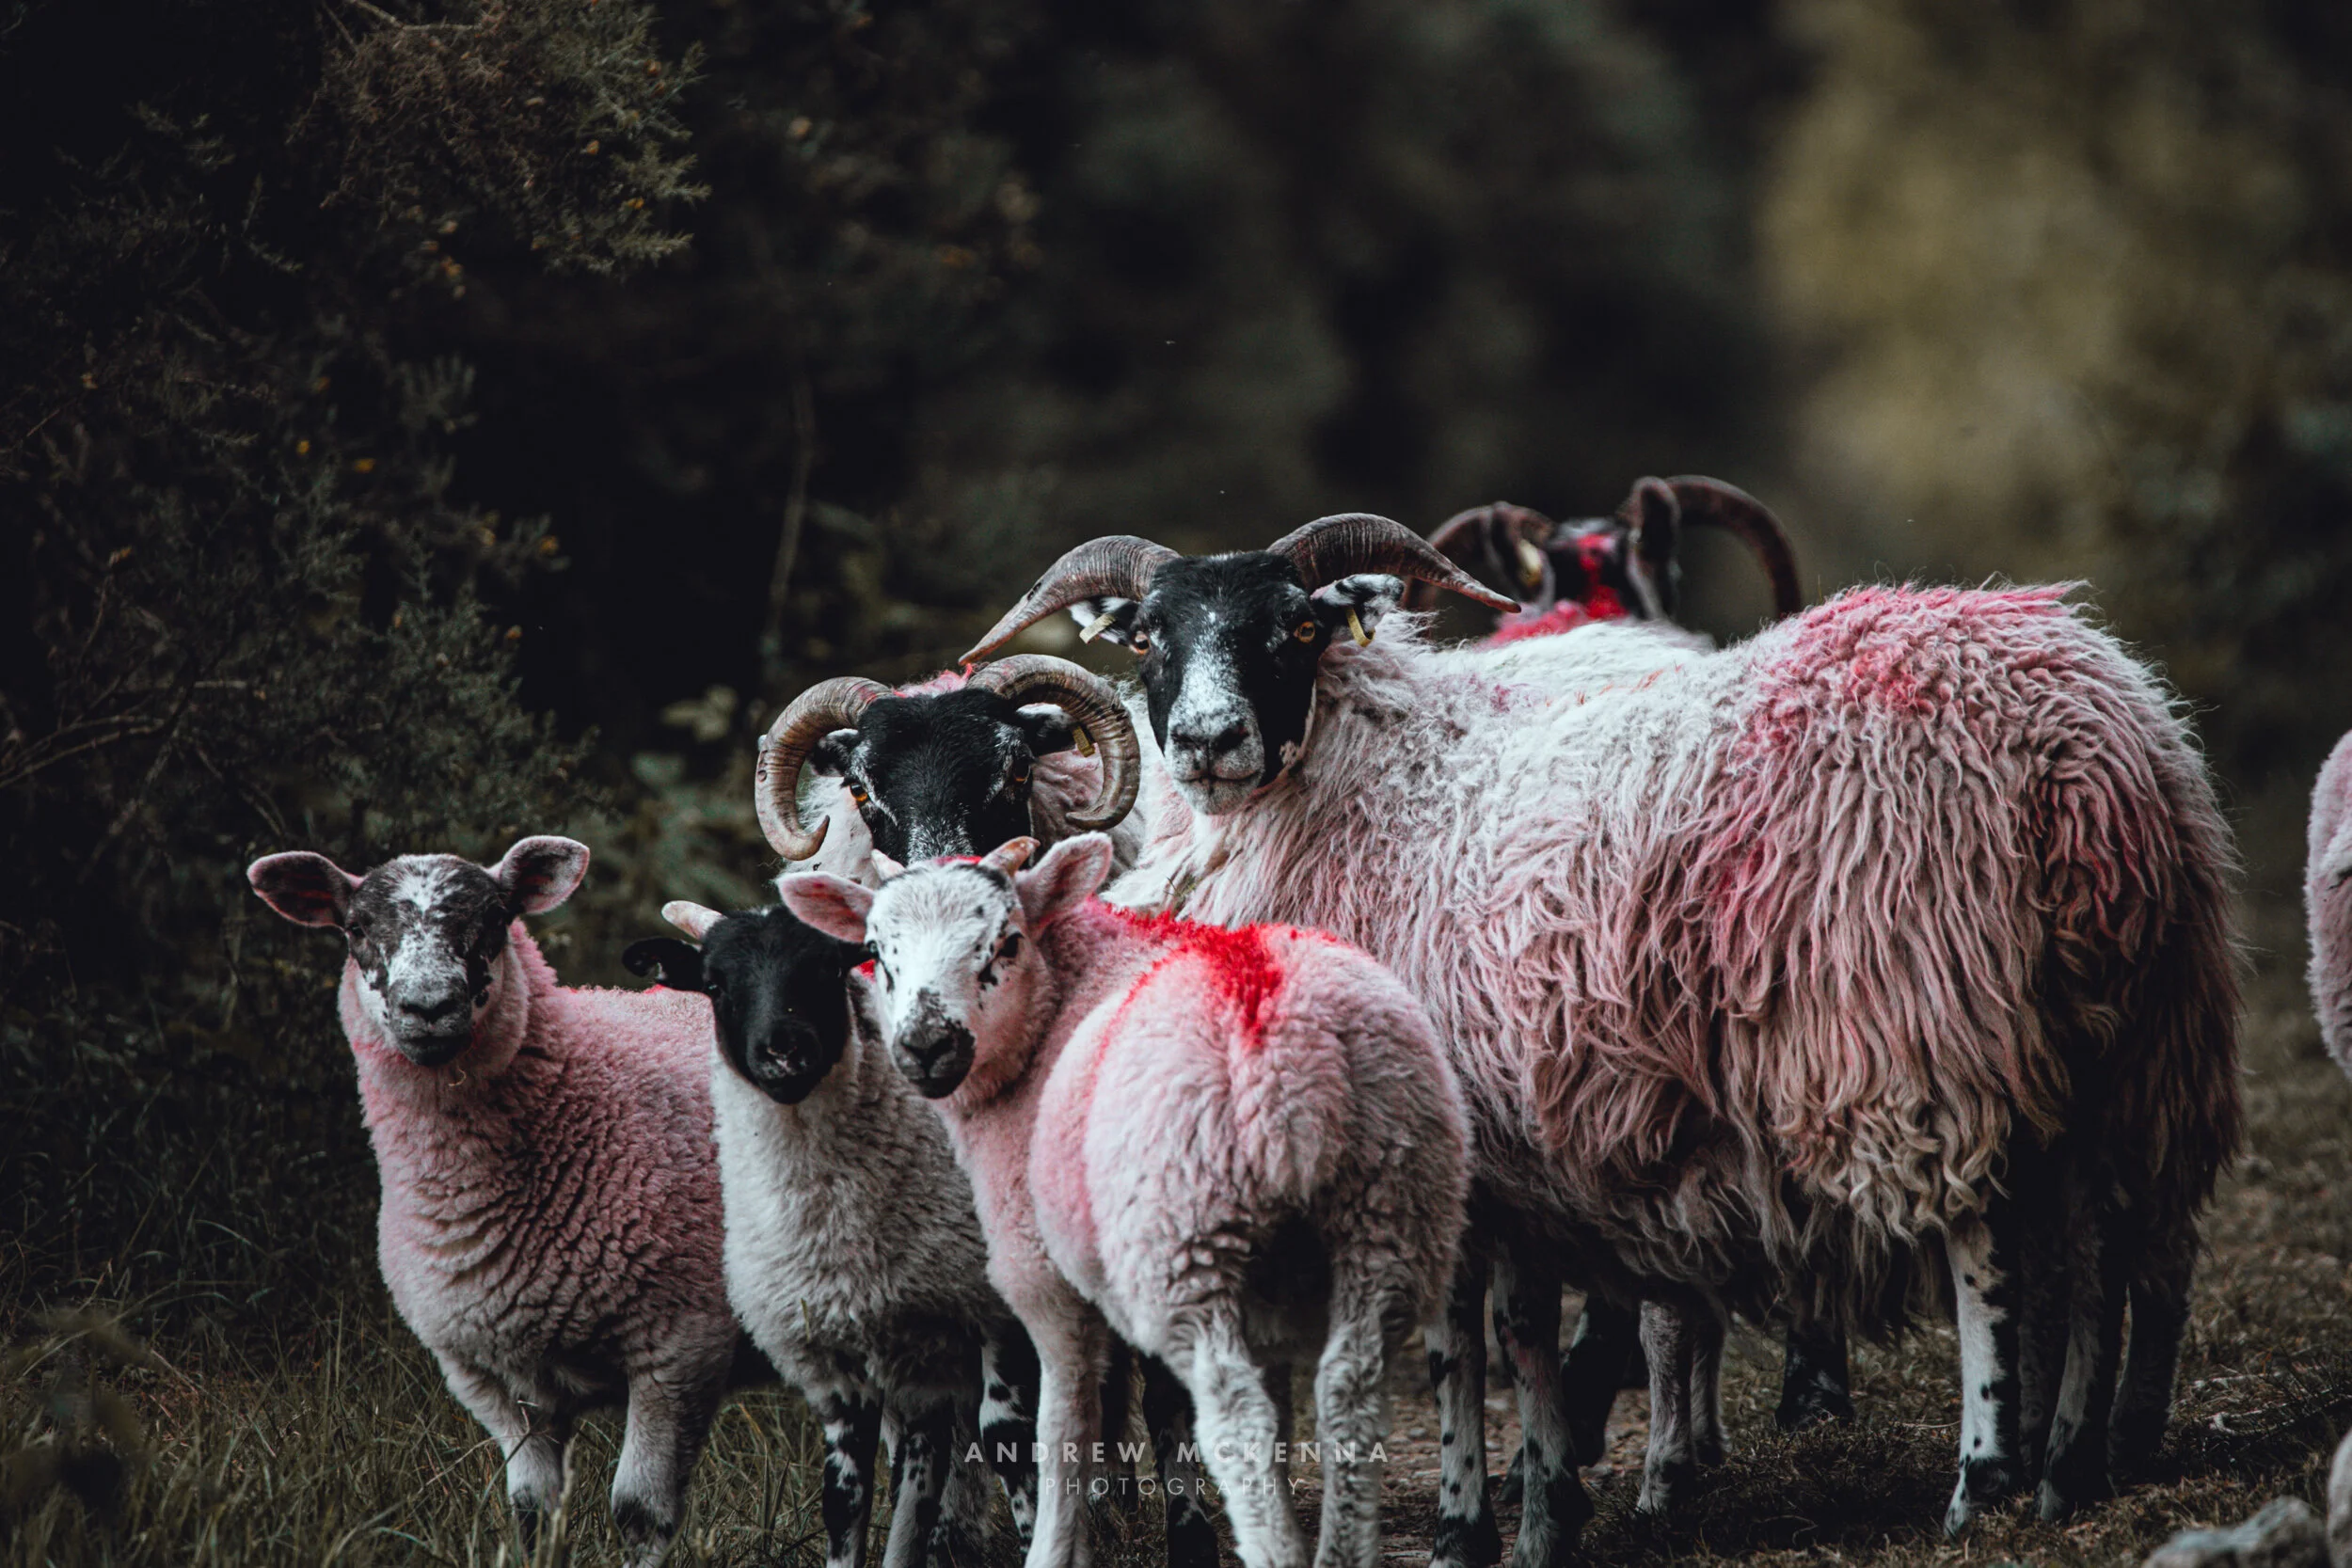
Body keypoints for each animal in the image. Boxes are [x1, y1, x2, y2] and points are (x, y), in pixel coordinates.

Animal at [246, 837, 737, 1567]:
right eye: (355, 927)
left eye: (496, 918)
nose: (427, 1005)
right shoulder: (493, 1378)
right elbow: (532, 1510)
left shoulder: (679, 1351)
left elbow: (640, 1514)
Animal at [622, 902, 1036, 1568]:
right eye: (714, 984)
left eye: (826, 967)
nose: (783, 1053)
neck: (840, 1226)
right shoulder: (840, 1356)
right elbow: (846, 1496)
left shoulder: (994, 1313)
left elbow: (1010, 1446)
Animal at [779, 834, 1472, 1568]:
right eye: (876, 951)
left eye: (1007, 942)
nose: (926, 1045)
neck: (1065, 994)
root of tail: (1280, 1028)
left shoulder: (1040, 1274)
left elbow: (1064, 1425)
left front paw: (1053, 1548)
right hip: (1390, 1209)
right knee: (1348, 1393)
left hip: (1187, 1234)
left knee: (1237, 1417)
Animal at [957, 518, 2242, 1554]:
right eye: (1148, 638)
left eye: (1298, 626)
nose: (1208, 739)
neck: (1371, 792)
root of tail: (2078, 747)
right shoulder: (1504, 1152)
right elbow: (1512, 1333)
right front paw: (1538, 1503)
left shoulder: (1432, 1147)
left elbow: (1453, 1343)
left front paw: (1475, 1520)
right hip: (2131, 1036)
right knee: (2105, 1239)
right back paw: (2075, 1460)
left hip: (1927, 1022)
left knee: (1992, 1248)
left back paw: (1985, 1479)